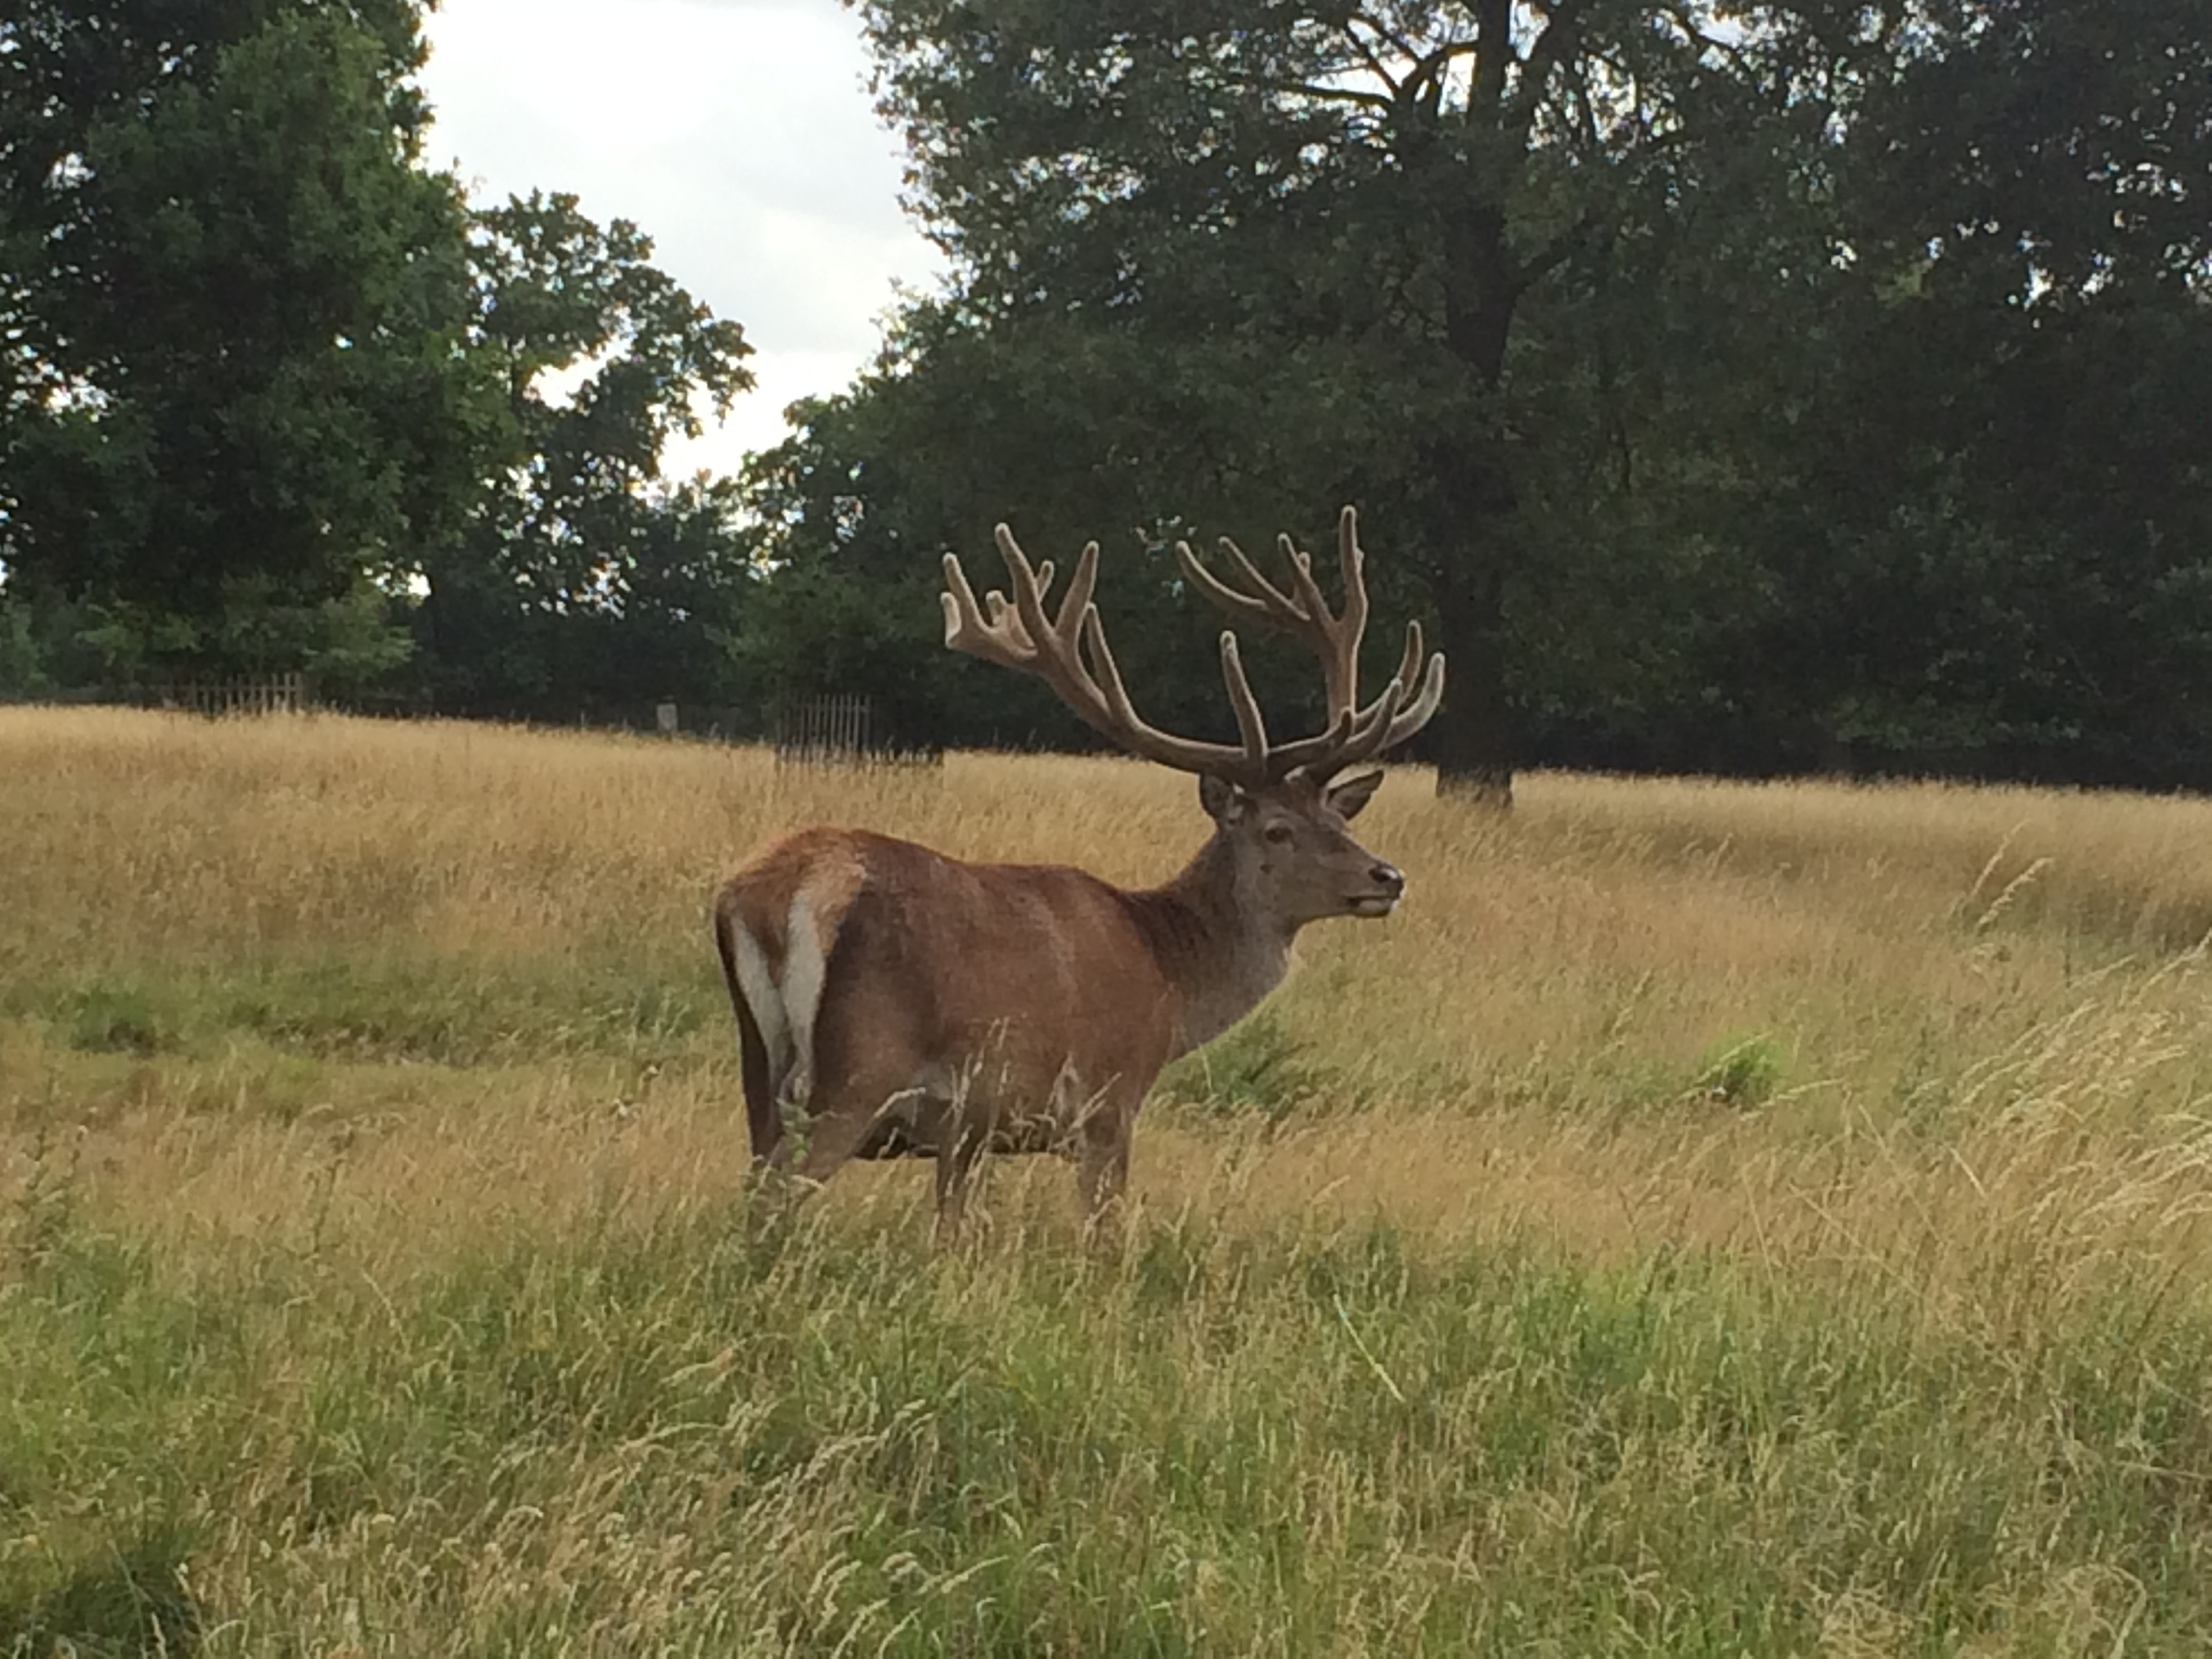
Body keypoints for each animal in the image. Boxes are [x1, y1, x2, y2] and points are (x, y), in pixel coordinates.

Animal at [712, 505, 1445, 1233]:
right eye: (1277, 830)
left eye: (1340, 820)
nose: (1388, 877)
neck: (1170, 980)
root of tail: (773, 891)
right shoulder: (1106, 1100)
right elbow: (1104, 1234)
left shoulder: (971, 1127)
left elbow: (951, 1229)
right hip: (858, 1072)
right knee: (772, 1203)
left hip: (761, 1074)